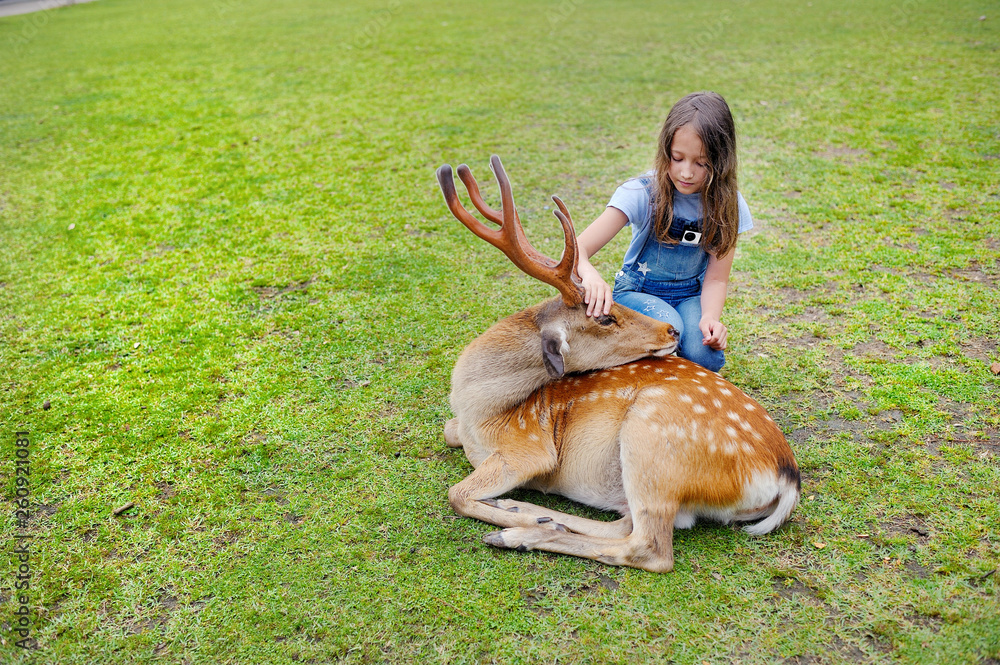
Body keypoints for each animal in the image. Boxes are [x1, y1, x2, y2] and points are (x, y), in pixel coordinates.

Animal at [436, 155, 800, 573]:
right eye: (606, 317)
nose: (672, 330)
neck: (478, 412)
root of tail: (786, 479)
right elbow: (447, 434)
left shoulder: (529, 448)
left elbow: (457, 494)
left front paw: (517, 518)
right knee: (626, 522)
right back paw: (527, 511)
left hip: (651, 438)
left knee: (649, 546)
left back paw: (518, 532)